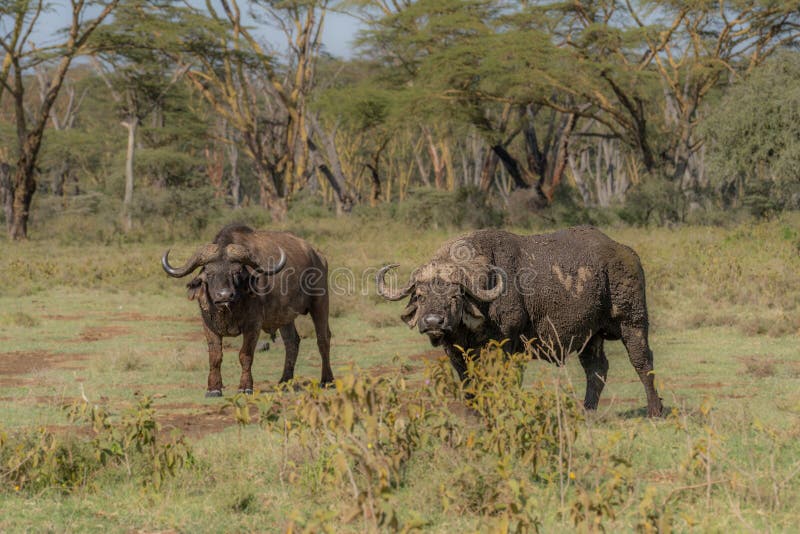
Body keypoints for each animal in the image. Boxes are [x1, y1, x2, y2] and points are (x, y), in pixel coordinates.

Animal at [162, 224, 334, 396]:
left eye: (236, 272)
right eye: (209, 273)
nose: (224, 295)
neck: (230, 310)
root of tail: (317, 255)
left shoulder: (253, 326)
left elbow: (245, 355)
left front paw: (245, 387)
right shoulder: (208, 326)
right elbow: (215, 356)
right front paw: (213, 388)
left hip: (320, 302)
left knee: (323, 339)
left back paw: (327, 380)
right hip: (284, 316)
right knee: (292, 342)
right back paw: (285, 382)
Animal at [376, 227, 663, 417]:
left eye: (455, 295)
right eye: (421, 295)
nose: (434, 321)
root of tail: (627, 253)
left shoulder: (506, 345)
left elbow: (504, 380)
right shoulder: (455, 353)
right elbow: (468, 384)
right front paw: (475, 415)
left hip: (633, 321)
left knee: (642, 361)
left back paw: (655, 409)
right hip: (590, 335)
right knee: (596, 369)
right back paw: (587, 411)